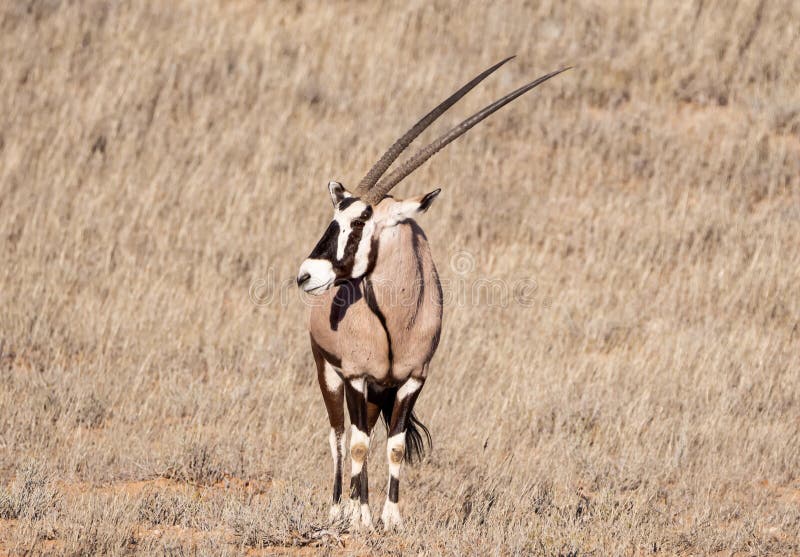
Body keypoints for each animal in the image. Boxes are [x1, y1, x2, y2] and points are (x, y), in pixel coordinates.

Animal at [296, 57, 569, 530]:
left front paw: (390, 517)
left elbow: (393, 445)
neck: (394, 319)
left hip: (377, 392)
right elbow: (357, 444)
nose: (306, 274)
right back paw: (338, 508)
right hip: (329, 373)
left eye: (360, 221)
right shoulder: (356, 376)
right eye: (337, 217)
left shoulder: (412, 380)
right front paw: (360, 516)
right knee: (339, 436)